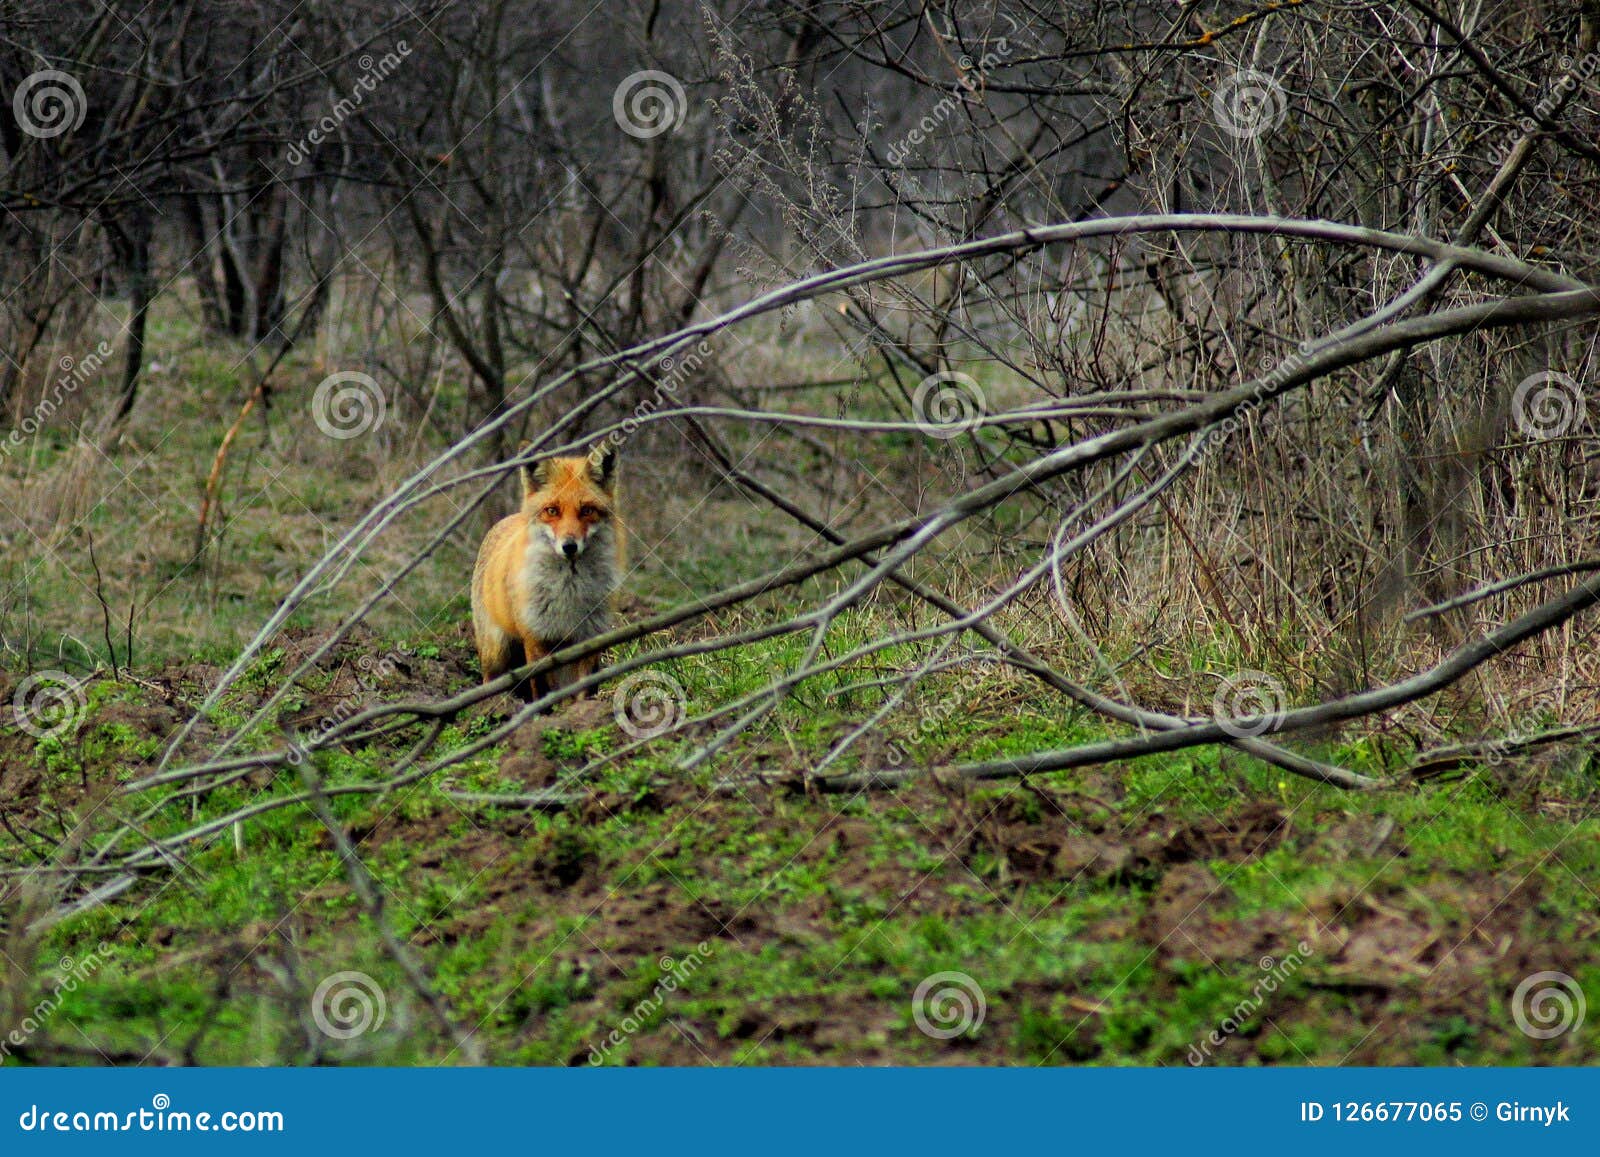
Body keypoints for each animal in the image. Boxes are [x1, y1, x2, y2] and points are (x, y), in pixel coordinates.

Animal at [471, 443, 622, 704]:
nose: (569, 546)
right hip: (496, 651)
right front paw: (542, 712)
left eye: (587, 510)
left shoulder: (589, 636)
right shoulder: (536, 638)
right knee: (491, 680)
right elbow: (541, 690)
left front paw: (584, 710)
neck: (569, 591)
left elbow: (585, 690)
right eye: (552, 511)